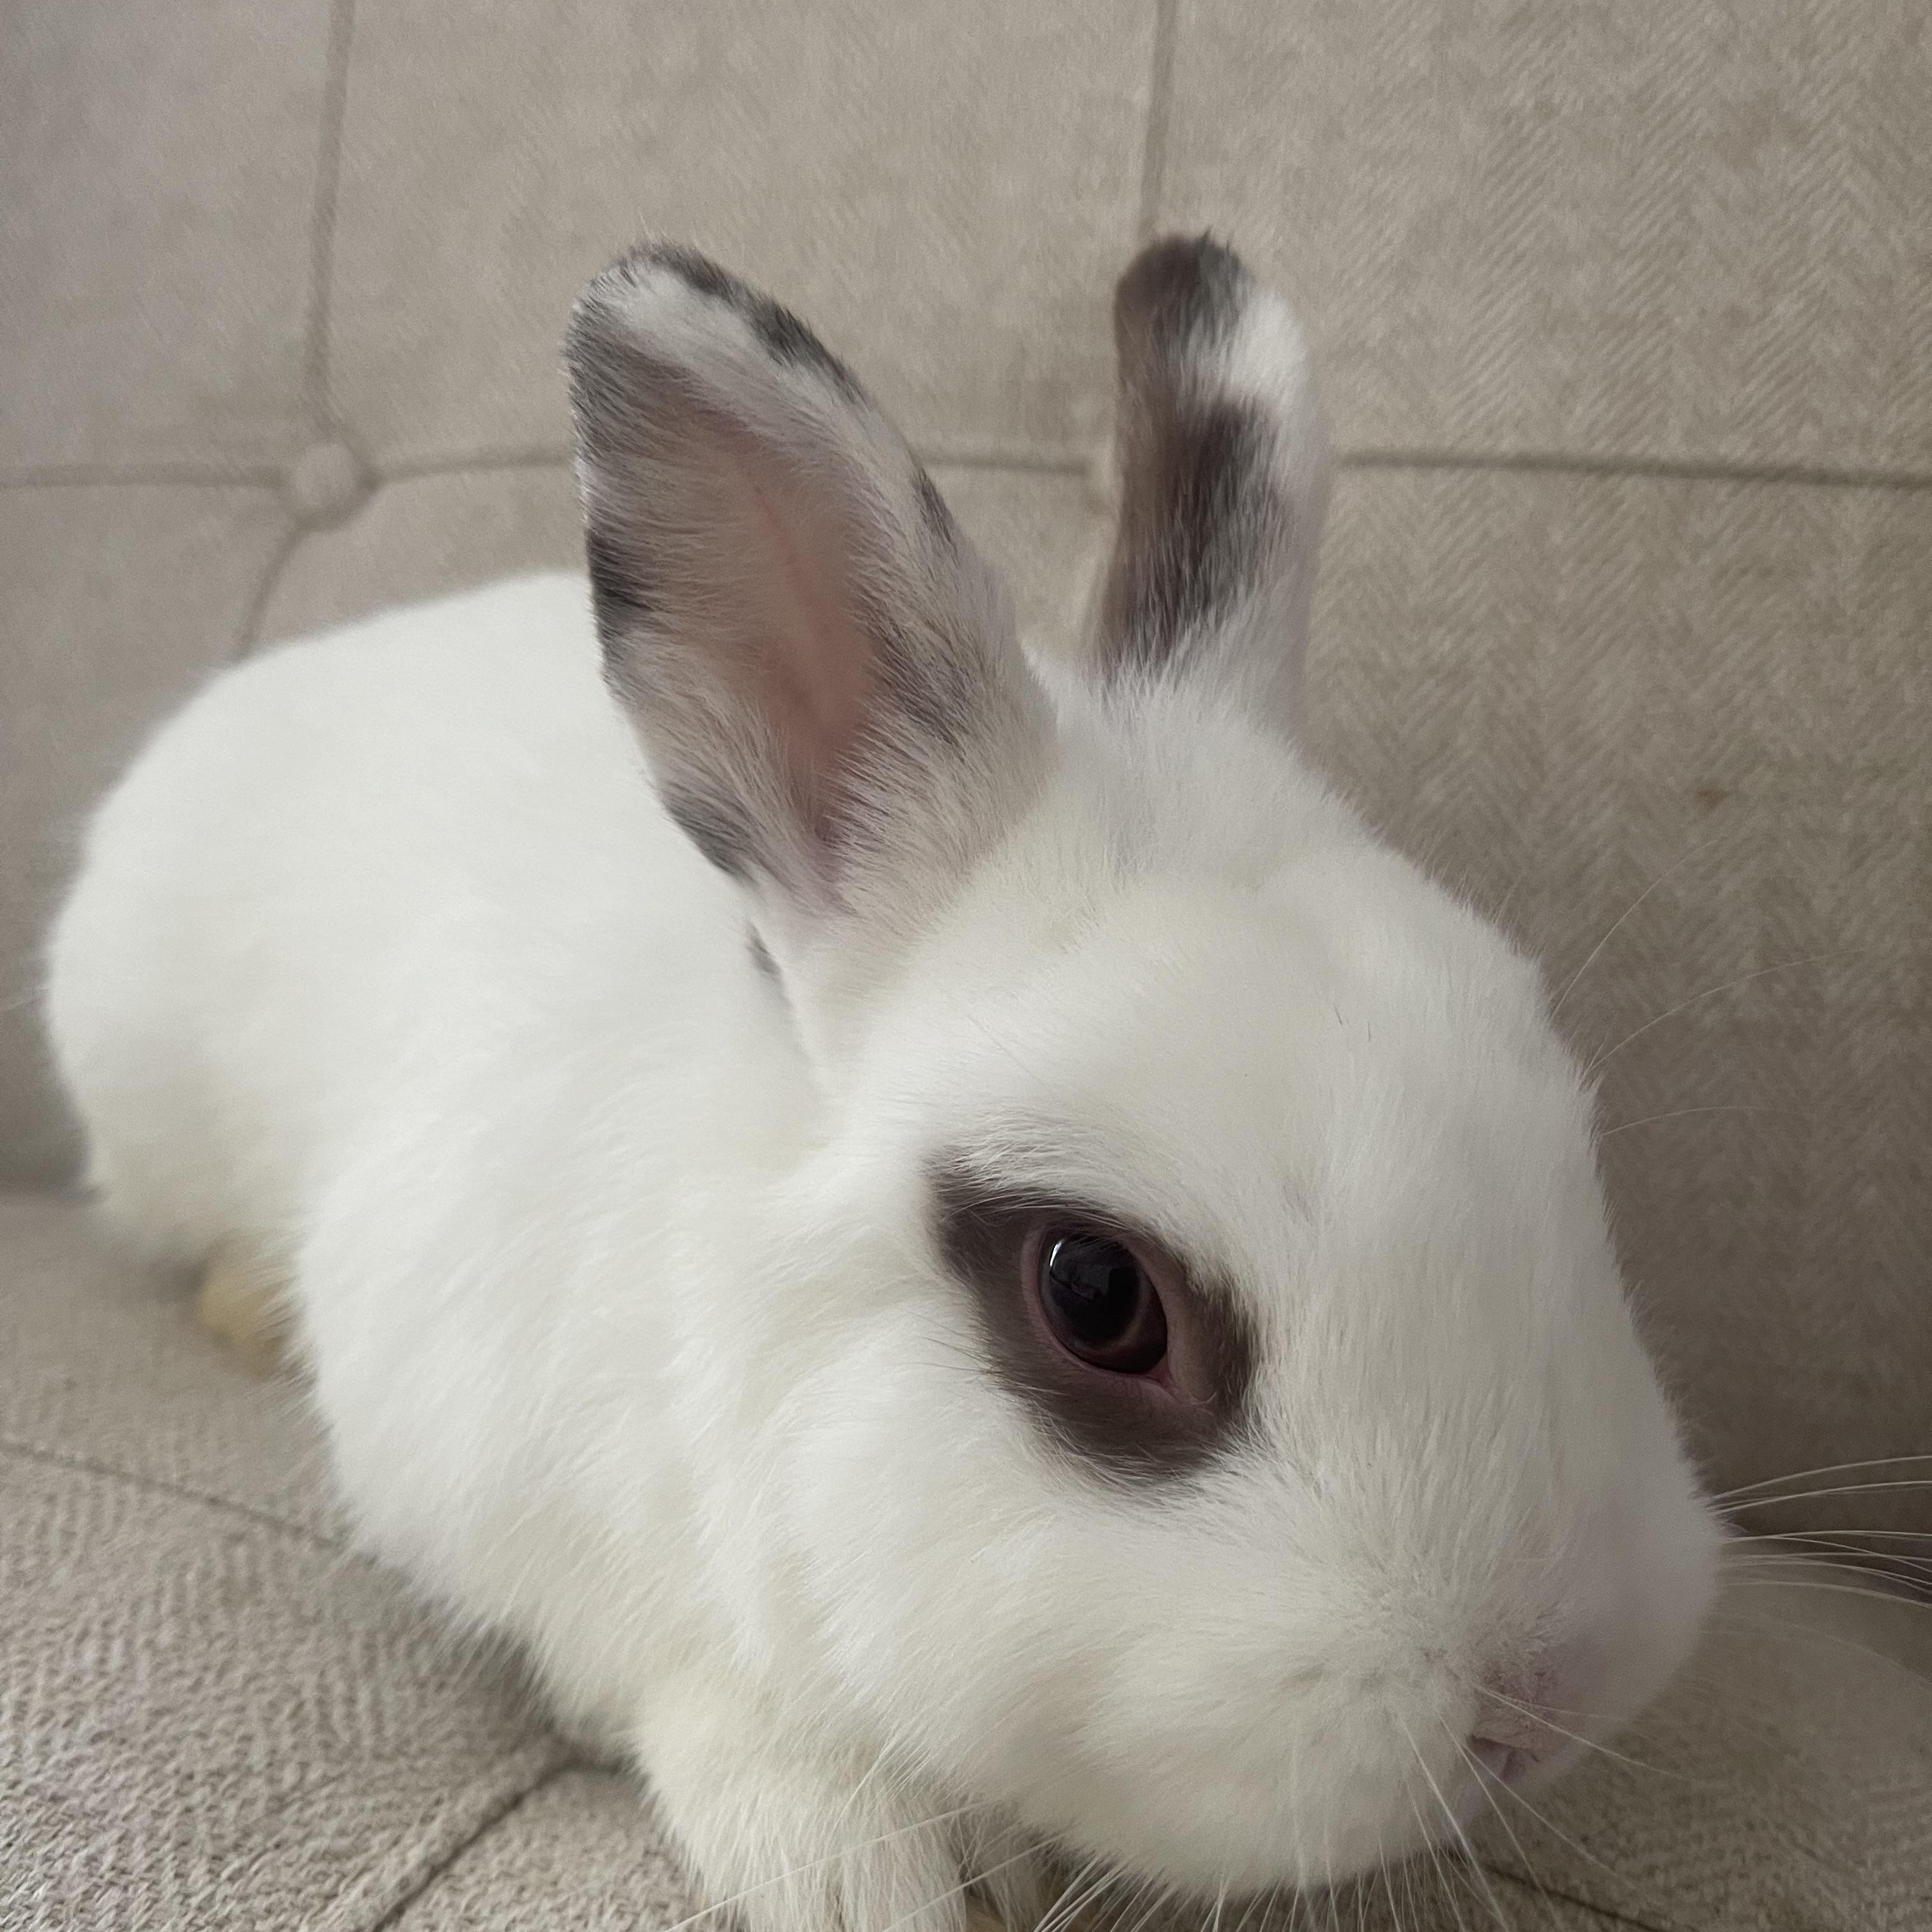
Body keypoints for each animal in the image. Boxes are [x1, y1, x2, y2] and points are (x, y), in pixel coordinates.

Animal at [43, 235, 1721, 1930]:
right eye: (1096, 1295)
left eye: (1567, 1138)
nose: (1548, 1693)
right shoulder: (482, 1478)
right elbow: (682, 1686)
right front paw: (857, 1860)